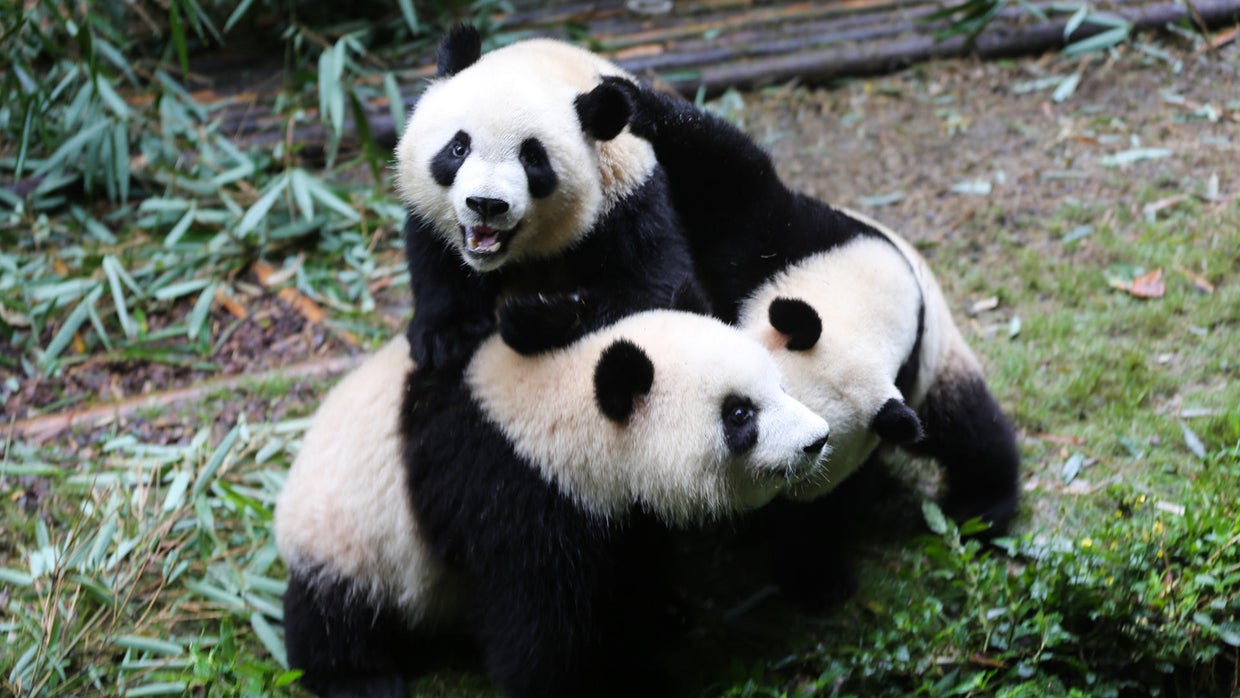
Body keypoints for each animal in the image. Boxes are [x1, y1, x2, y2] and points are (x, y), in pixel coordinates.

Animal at [276, 309, 831, 697]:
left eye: (781, 384)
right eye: (739, 414)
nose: (816, 440)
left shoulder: (612, 511)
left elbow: (627, 565)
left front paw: (658, 616)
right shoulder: (510, 490)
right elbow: (537, 626)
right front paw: (614, 681)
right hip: (348, 530)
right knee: (335, 609)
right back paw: (358, 678)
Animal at [395, 26, 702, 371]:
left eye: (532, 158)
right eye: (458, 148)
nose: (486, 204)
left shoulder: (632, 201)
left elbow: (652, 293)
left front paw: (536, 319)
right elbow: (436, 262)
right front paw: (446, 338)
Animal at [603, 77, 1021, 604]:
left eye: (814, 448)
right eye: (747, 408)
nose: (742, 507)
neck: (862, 310)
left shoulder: (890, 396)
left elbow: (834, 501)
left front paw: (813, 577)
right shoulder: (791, 245)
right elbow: (730, 184)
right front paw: (632, 100)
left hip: (940, 366)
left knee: (971, 431)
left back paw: (981, 508)